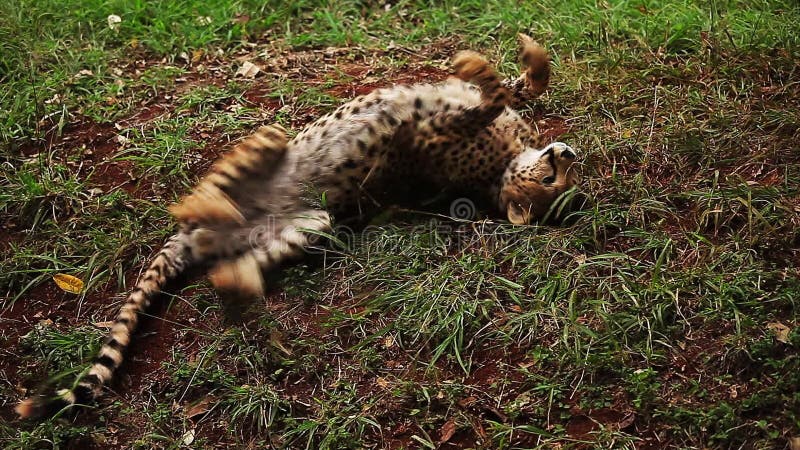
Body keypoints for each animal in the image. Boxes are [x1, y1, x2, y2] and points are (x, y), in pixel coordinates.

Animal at [16, 34, 580, 419]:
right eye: (555, 177)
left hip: (311, 220)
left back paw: (232, 271)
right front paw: (521, 58)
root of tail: (197, 238)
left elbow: (495, 94)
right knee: (211, 197)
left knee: (227, 258)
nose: (568, 156)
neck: (501, 168)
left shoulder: (430, 133)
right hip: (281, 149)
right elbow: (516, 87)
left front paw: (485, 68)